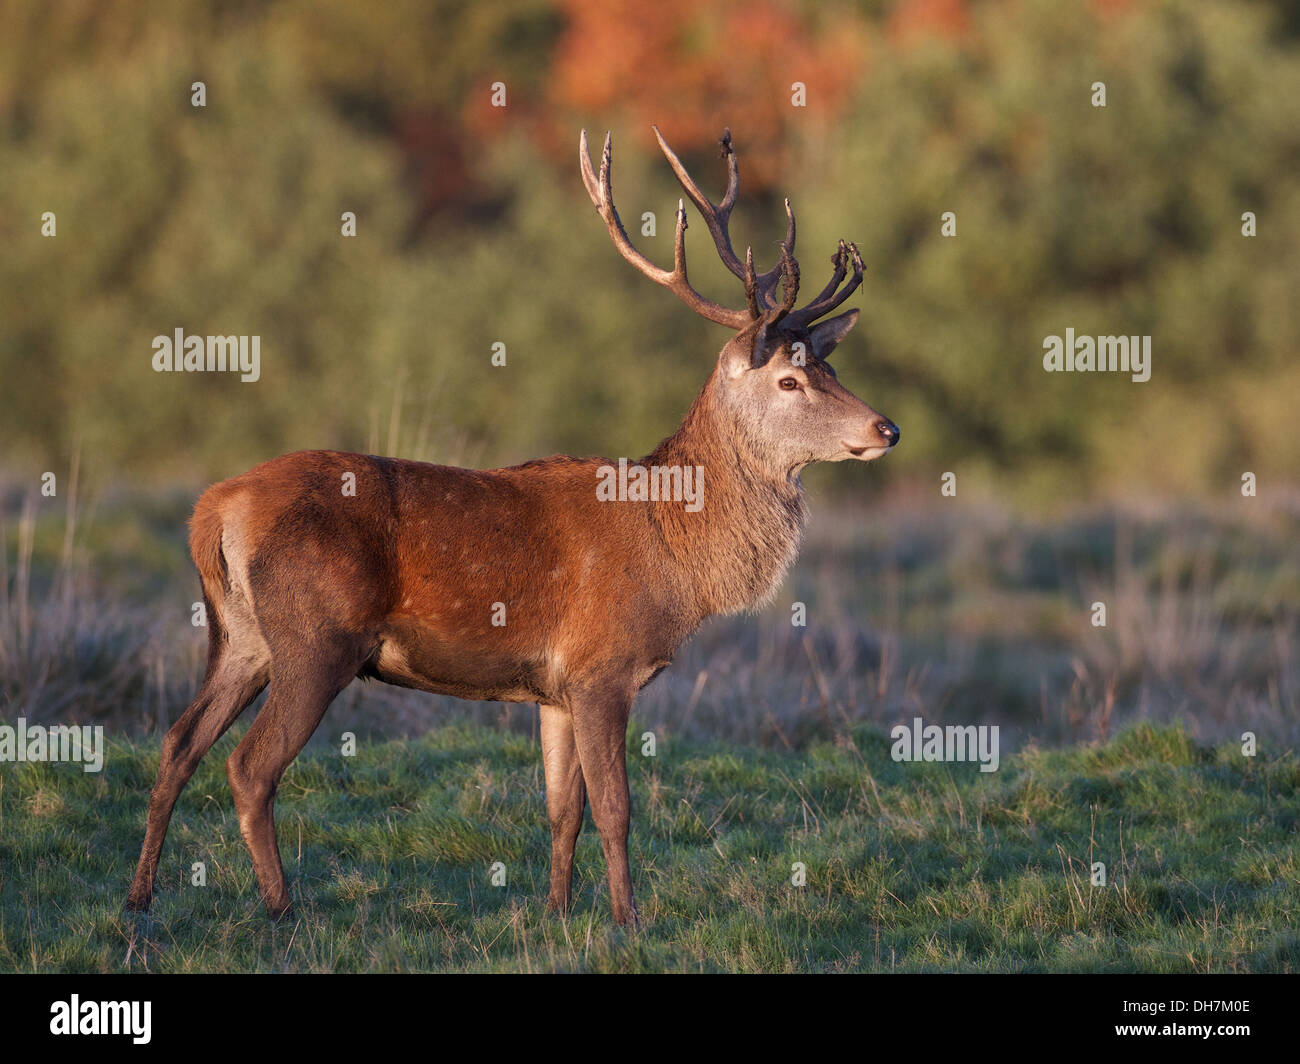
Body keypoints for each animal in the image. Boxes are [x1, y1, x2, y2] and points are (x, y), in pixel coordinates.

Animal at [125, 126, 899, 928]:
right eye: (790, 378)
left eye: (832, 368)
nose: (887, 428)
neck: (675, 551)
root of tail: (216, 507)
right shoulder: (602, 668)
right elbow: (617, 809)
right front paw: (628, 921)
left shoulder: (553, 690)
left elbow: (562, 810)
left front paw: (557, 910)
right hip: (316, 637)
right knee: (248, 766)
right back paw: (281, 906)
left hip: (241, 636)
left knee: (178, 742)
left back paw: (140, 895)